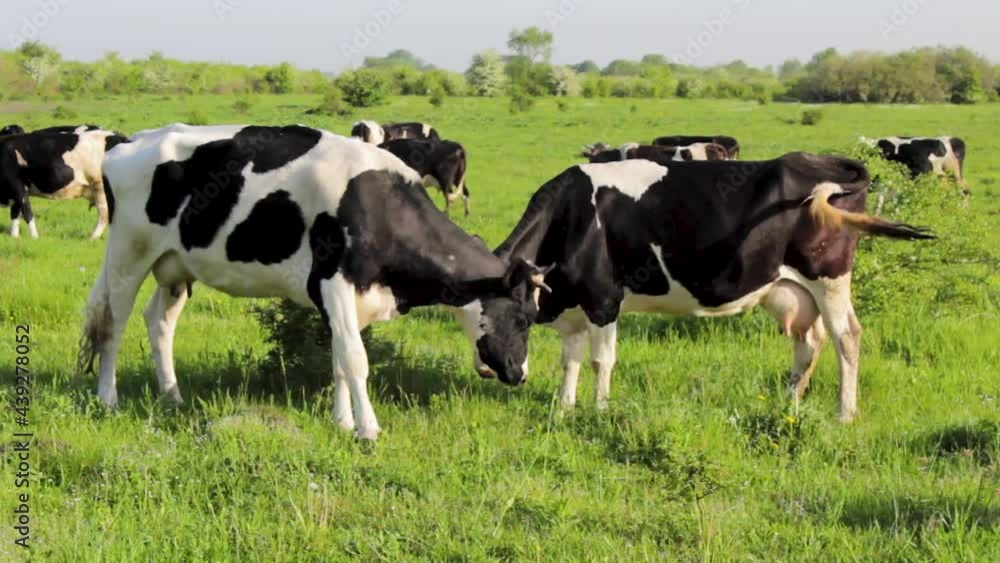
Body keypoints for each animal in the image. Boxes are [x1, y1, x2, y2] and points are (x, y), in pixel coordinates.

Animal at [78, 123, 548, 440]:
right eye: (524, 319)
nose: (521, 374)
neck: (377, 202)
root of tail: (128, 142)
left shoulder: (349, 298)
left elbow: (339, 357)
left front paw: (342, 422)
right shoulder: (333, 282)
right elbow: (356, 359)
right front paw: (368, 430)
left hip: (176, 265)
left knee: (159, 321)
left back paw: (172, 396)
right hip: (129, 251)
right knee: (114, 323)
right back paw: (107, 399)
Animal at [457, 153, 934, 423]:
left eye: (516, 319)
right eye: (466, 322)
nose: (491, 371)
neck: (573, 216)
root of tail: (825, 159)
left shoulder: (604, 299)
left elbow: (599, 361)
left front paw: (600, 411)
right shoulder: (574, 307)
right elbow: (570, 360)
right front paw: (563, 409)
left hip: (828, 276)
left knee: (846, 337)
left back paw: (844, 414)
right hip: (792, 289)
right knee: (810, 341)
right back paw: (789, 405)